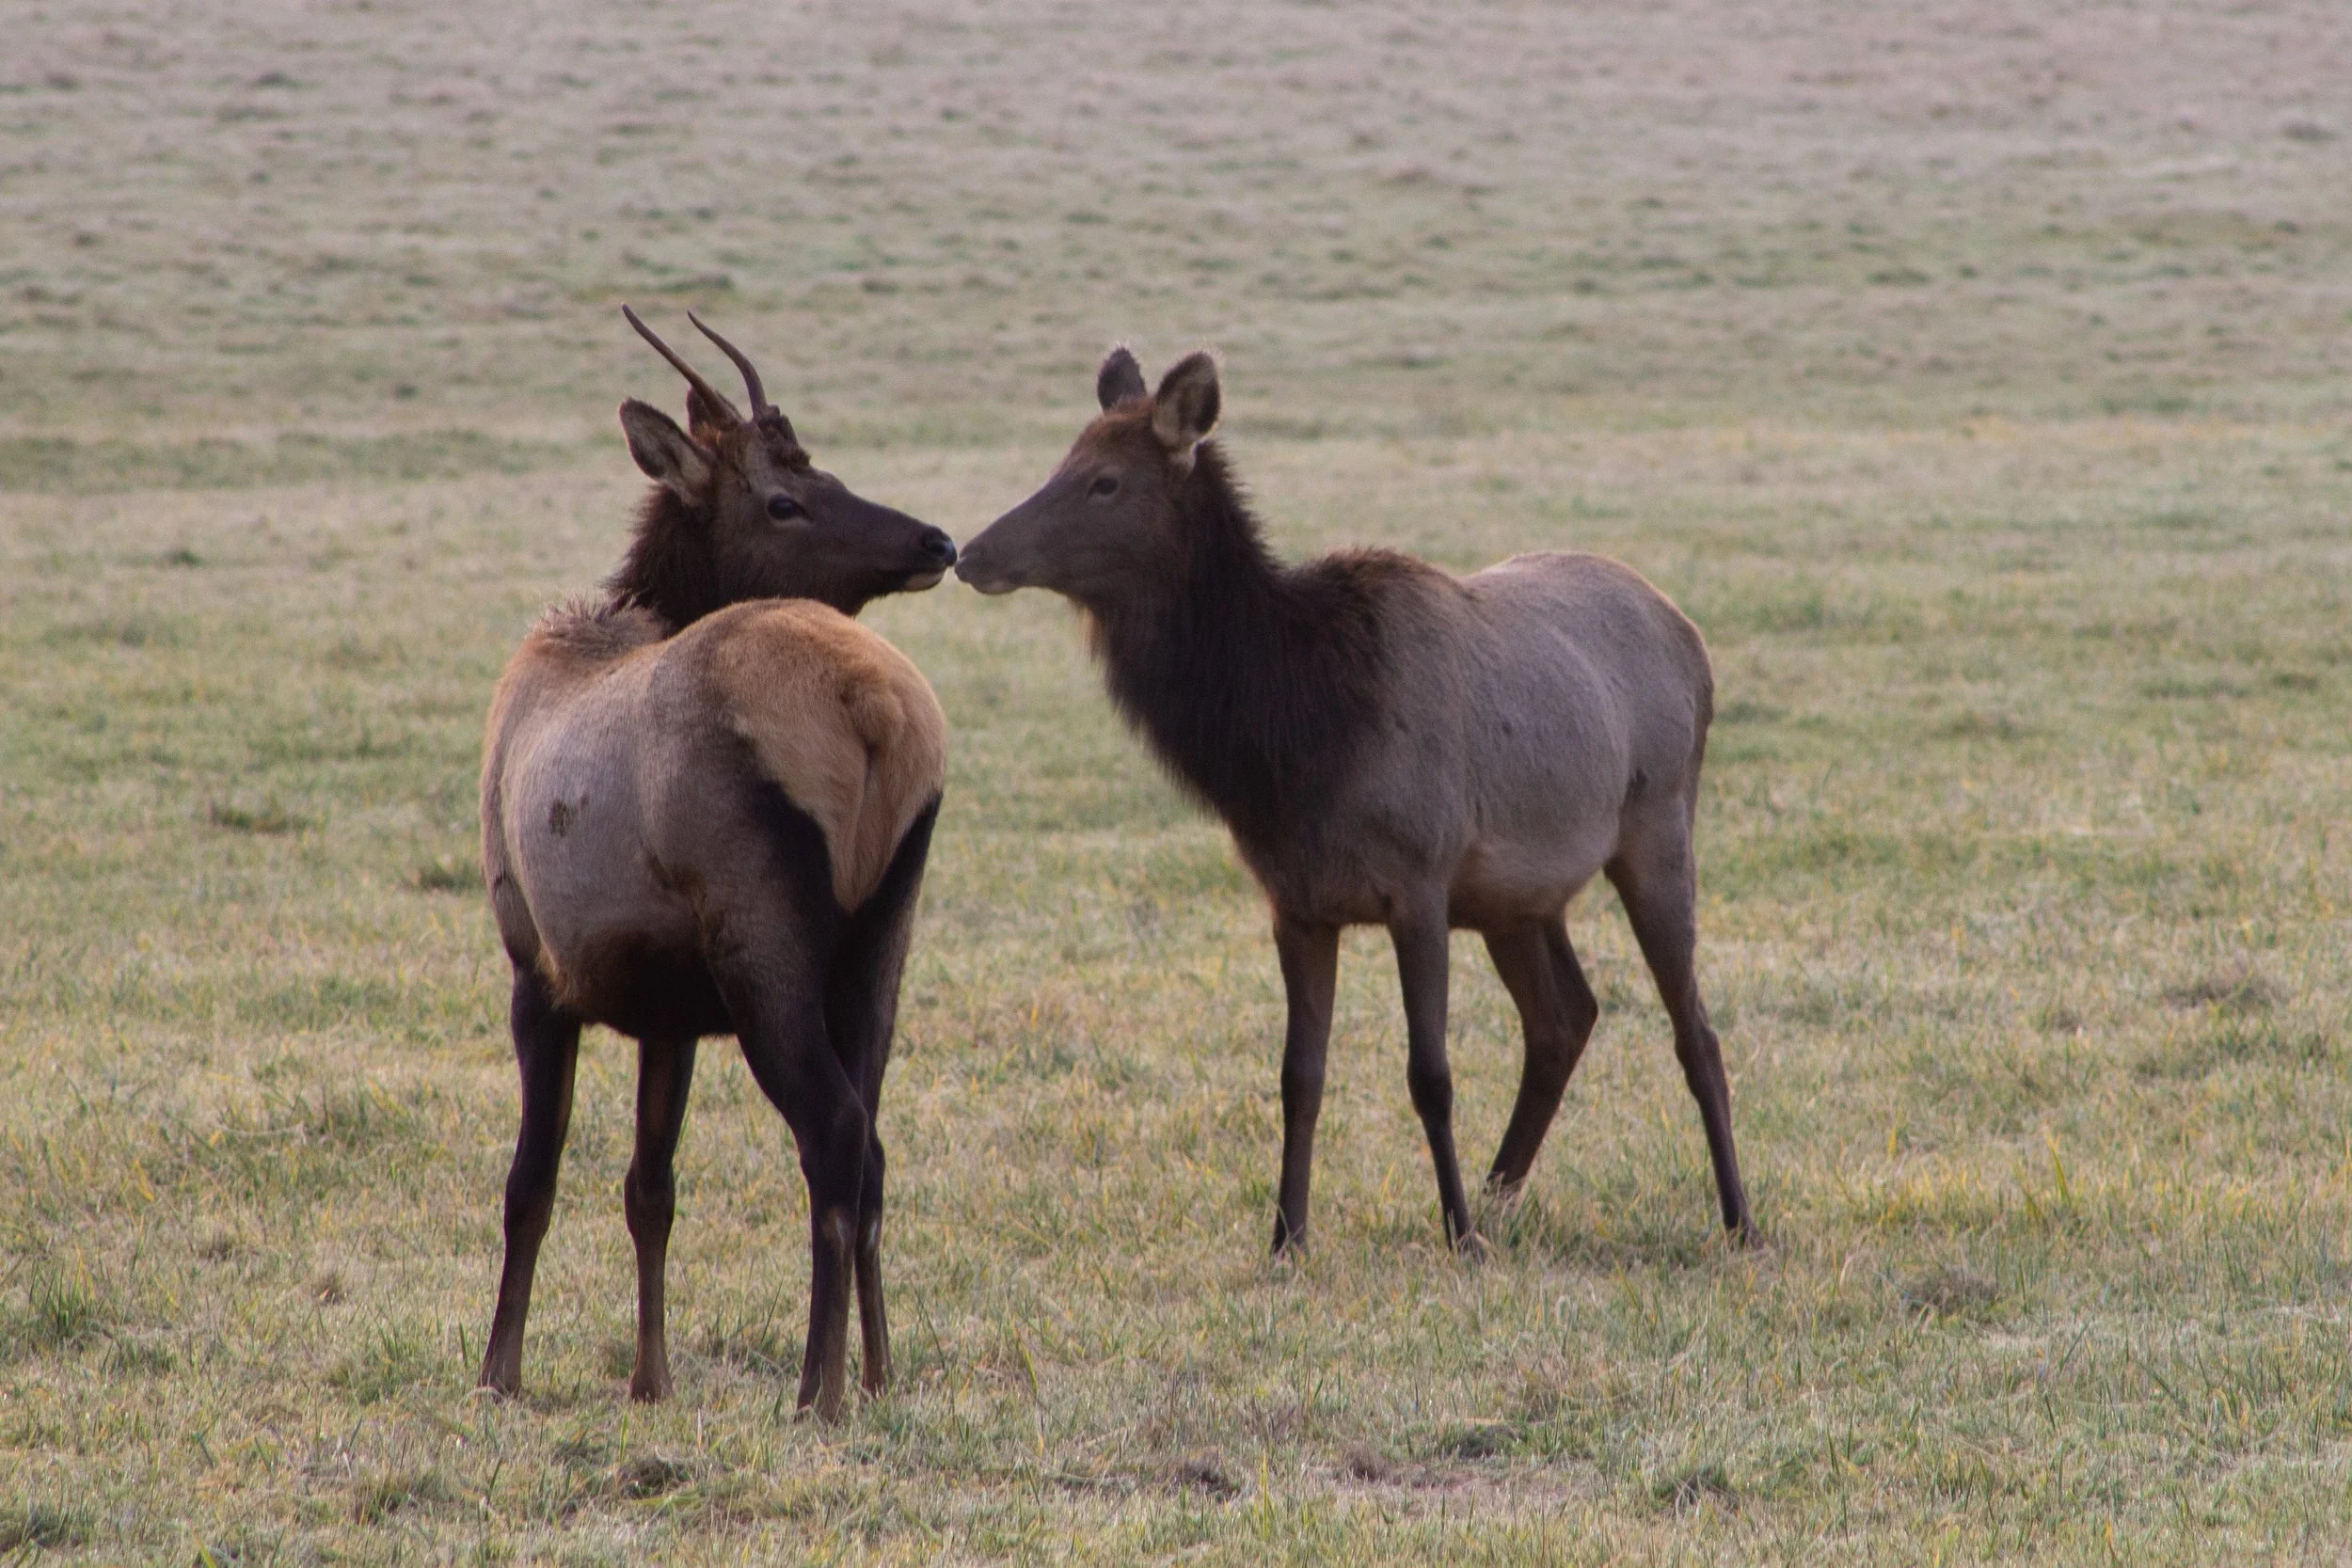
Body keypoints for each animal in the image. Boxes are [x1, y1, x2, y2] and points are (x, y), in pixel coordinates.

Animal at [474, 307, 956, 1419]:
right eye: (787, 495)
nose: (938, 539)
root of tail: (875, 715)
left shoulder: (536, 967)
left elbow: (531, 1180)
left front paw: (498, 1370)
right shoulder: (670, 1010)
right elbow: (650, 1188)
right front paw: (650, 1376)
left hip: (764, 942)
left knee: (833, 1132)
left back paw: (817, 1390)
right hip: (882, 938)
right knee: (873, 1146)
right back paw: (878, 1373)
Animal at [954, 347, 1752, 1258]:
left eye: (1105, 482)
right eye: (1063, 461)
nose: (970, 551)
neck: (1299, 739)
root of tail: (1693, 640)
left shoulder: (1421, 878)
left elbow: (1430, 1072)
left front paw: (1457, 1235)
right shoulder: (1294, 901)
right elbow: (1299, 1075)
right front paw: (1286, 1238)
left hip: (1659, 825)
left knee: (1696, 1031)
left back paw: (1735, 1218)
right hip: (1518, 896)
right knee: (1564, 1016)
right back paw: (1501, 1193)